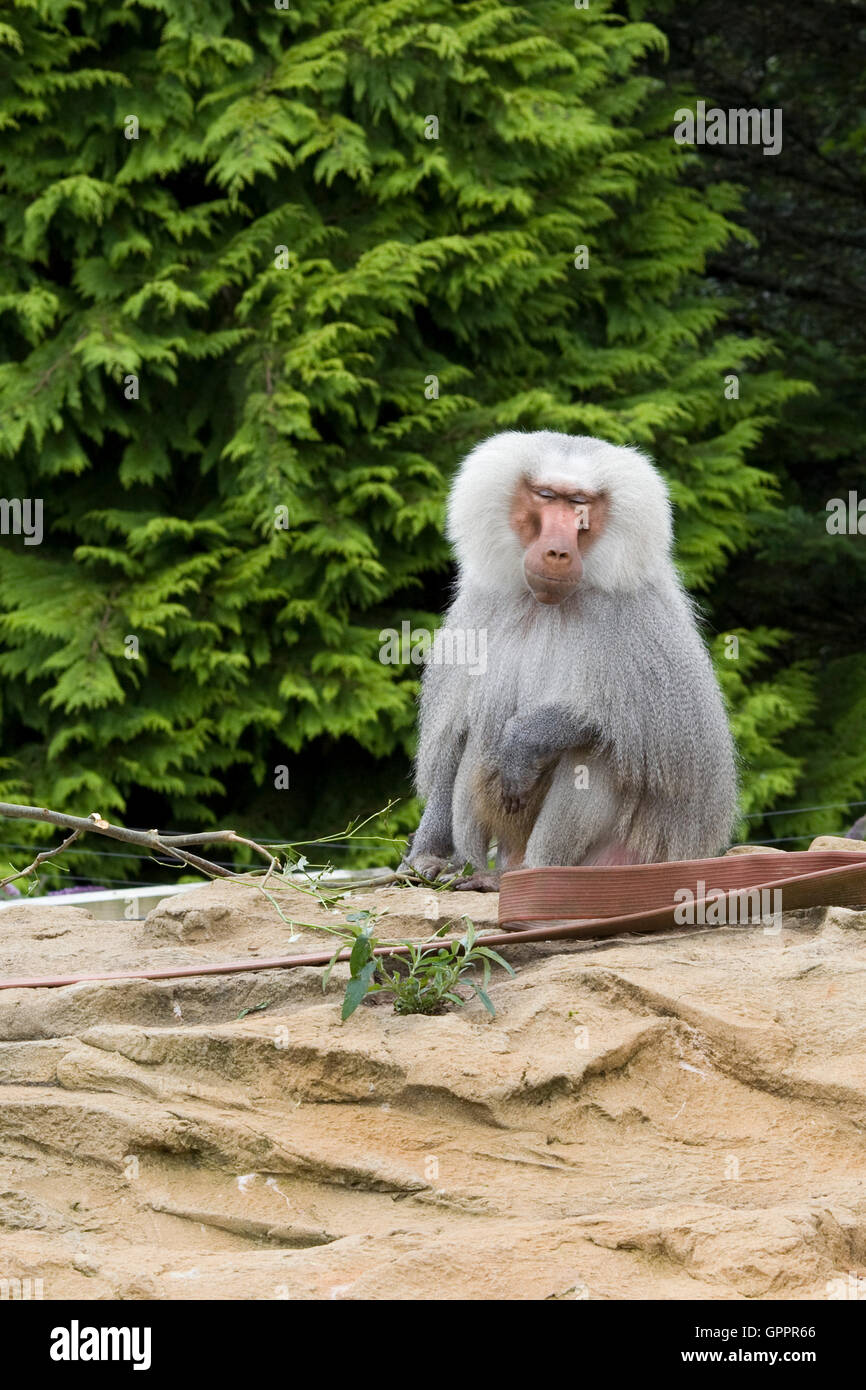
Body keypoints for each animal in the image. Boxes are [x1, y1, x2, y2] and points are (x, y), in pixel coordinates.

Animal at [403, 430, 738, 892]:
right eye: (547, 496)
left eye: (579, 502)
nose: (558, 553)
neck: (549, 604)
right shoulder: (480, 609)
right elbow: (456, 735)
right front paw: (427, 855)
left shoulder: (641, 618)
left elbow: (662, 741)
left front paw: (525, 738)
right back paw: (473, 870)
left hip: (624, 859)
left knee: (601, 747)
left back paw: (528, 875)